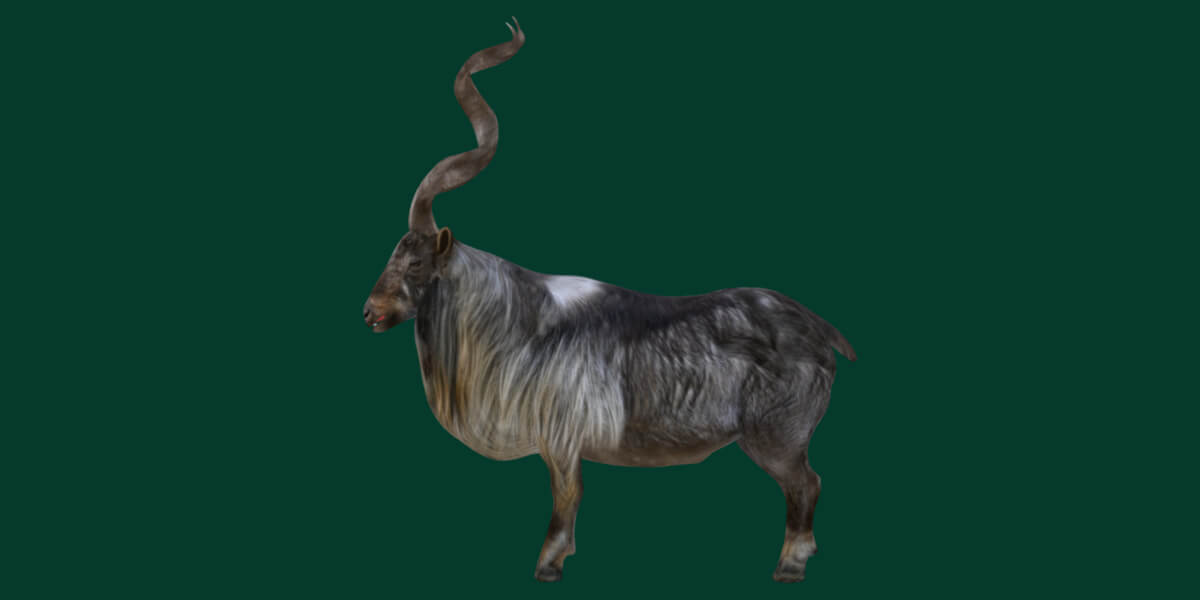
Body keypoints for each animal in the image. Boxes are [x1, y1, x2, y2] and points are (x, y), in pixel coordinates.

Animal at [363, 19, 856, 582]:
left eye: (415, 264)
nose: (371, 312)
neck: (516, 324)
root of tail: (822, 331)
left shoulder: (561, 438)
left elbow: (567, 496)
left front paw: (549, 564)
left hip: (777, 436)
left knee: (806, 484)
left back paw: (789, 566)